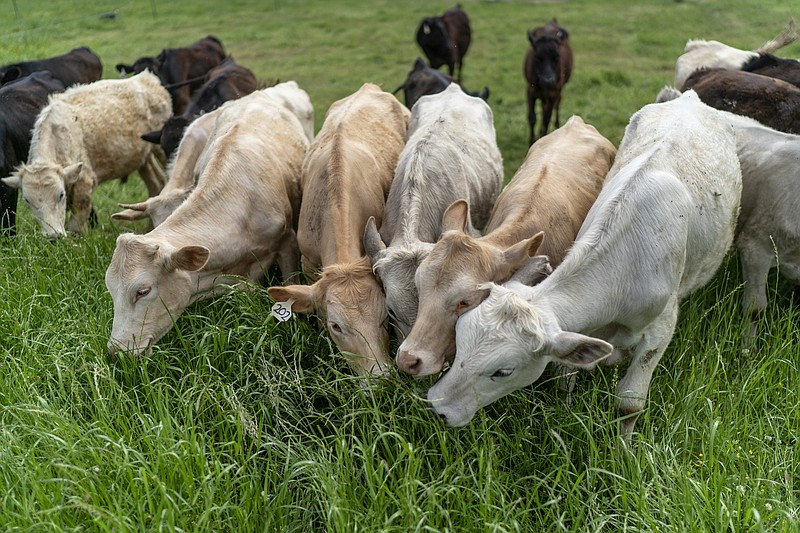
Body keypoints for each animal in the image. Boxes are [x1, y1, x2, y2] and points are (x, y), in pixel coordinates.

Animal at [427, 91, 742, 439]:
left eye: (503, 371)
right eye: (459, 339)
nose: (438, 408)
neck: (624, 272)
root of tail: (688, 98)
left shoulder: (660, 330)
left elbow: (629, 403)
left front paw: (623, 447)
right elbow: (566, 381)